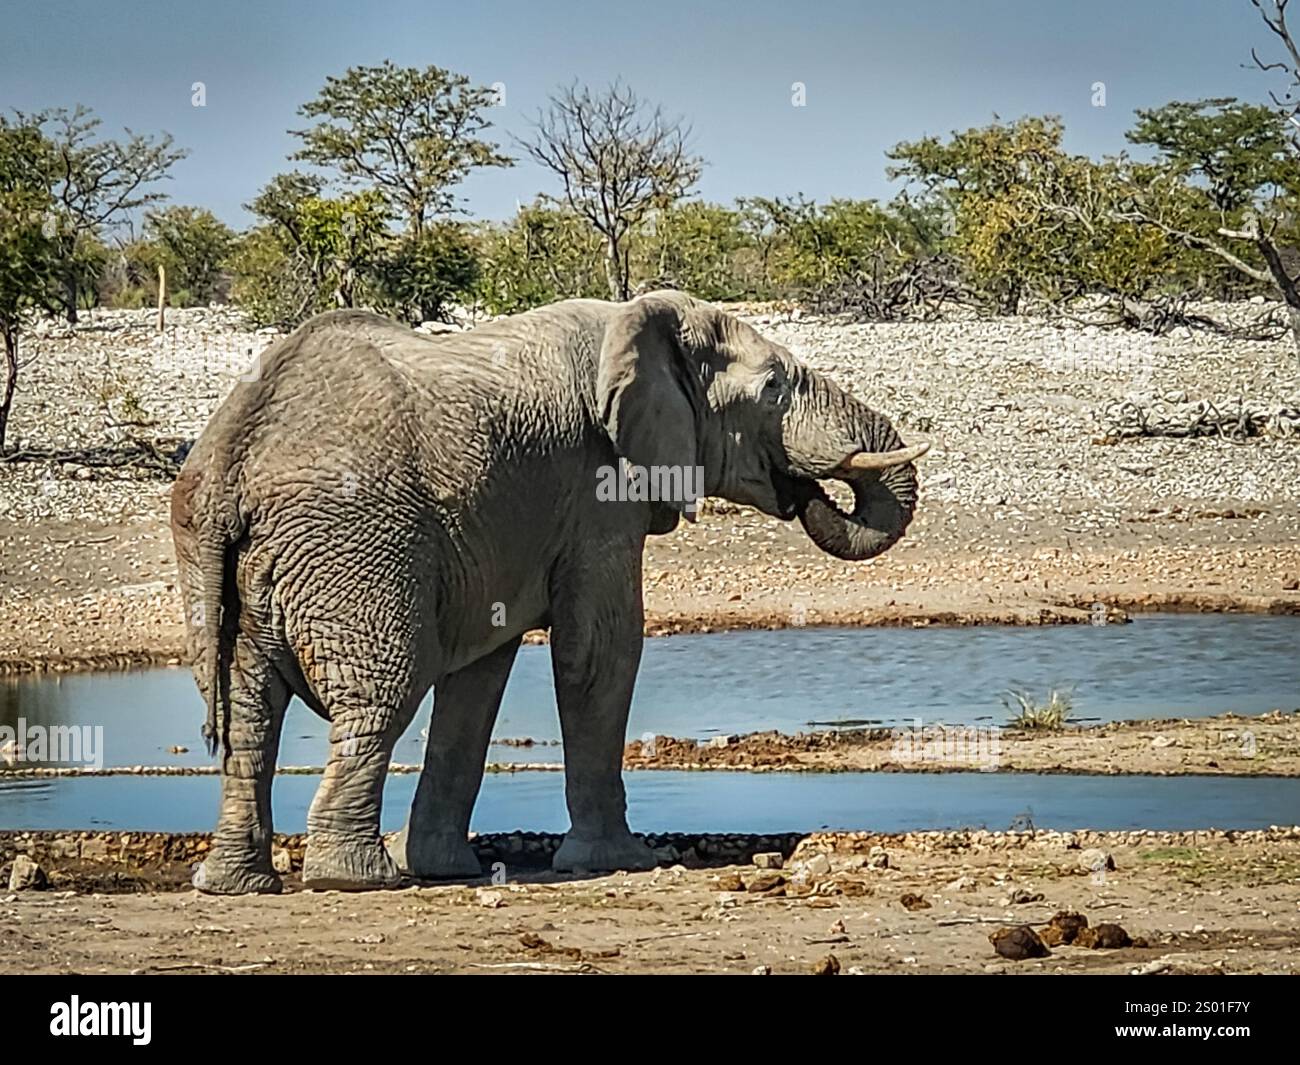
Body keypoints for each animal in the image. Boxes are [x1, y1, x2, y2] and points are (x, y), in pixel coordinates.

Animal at [170, 291, 927, 894]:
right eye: (773, 386)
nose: (804, 490)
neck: (635, 320)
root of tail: (232, 458)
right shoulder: (596, 486)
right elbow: (600, 647)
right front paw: (620, 861)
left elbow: (482, 675)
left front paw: (448, 868)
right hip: (353, 544)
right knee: (379, 693)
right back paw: (352, 879)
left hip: (228, 561)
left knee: (248, 710)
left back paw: (234, 884)